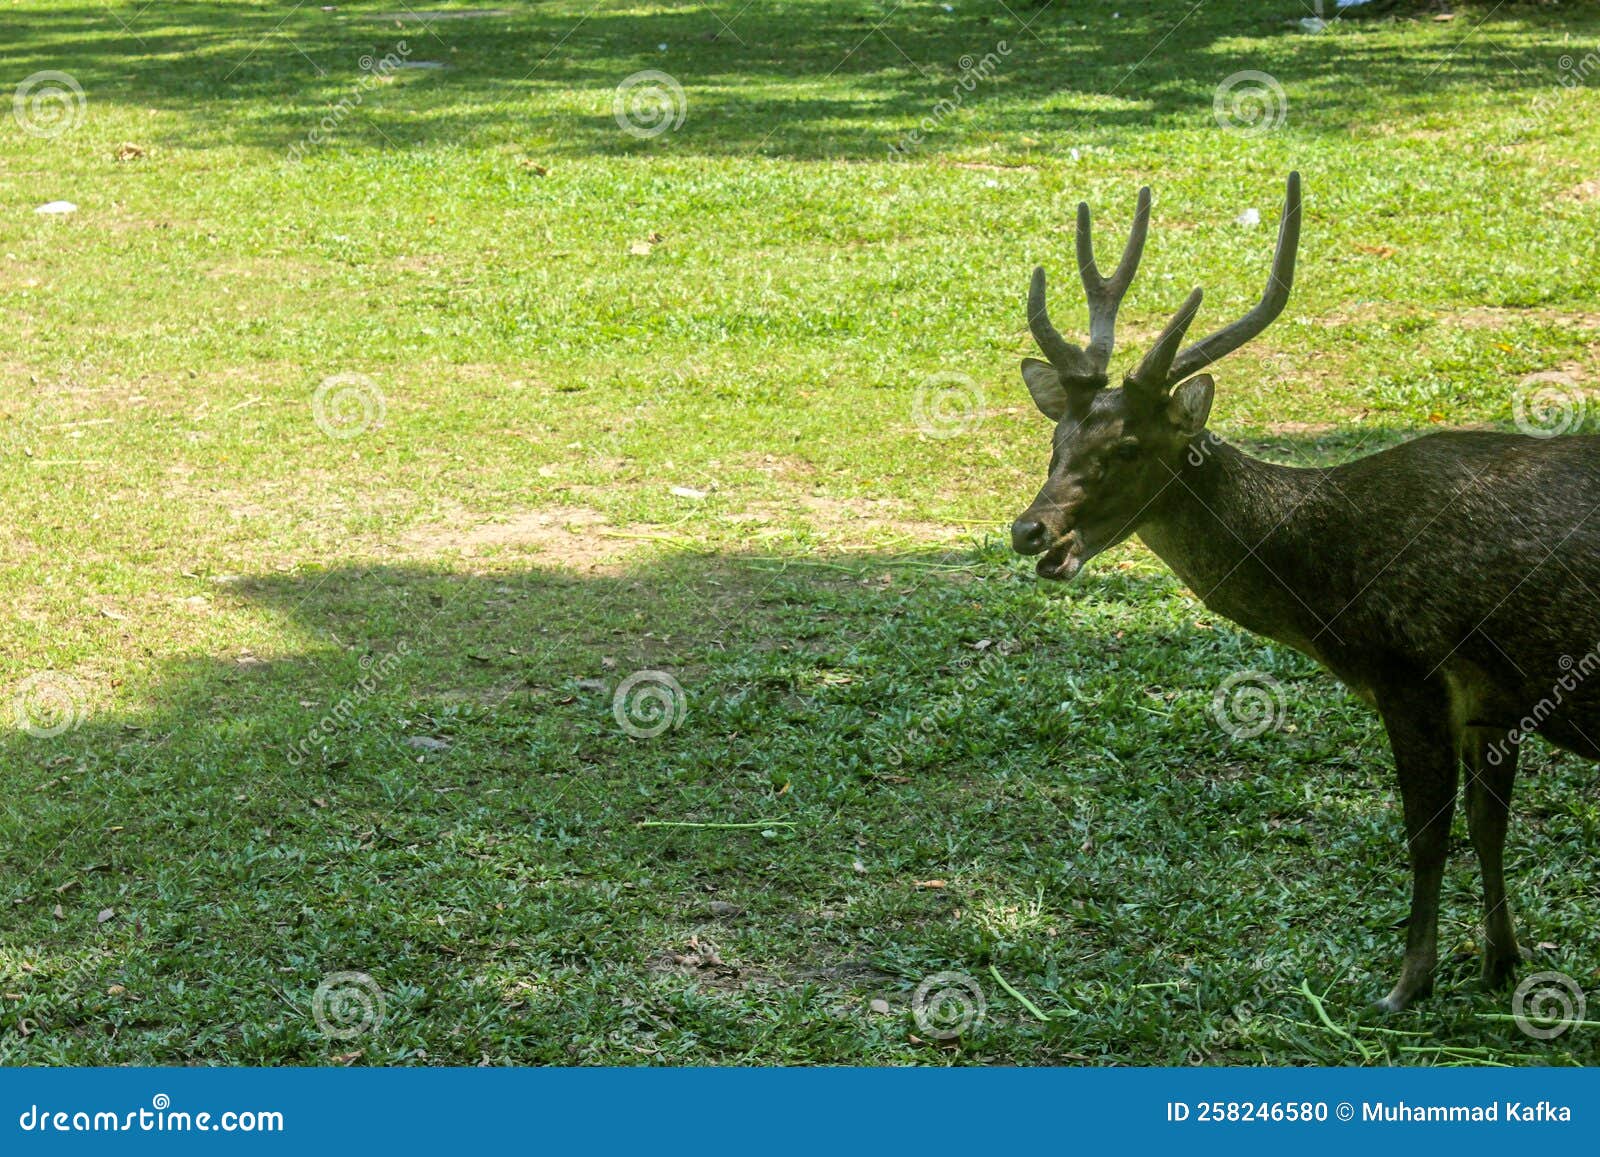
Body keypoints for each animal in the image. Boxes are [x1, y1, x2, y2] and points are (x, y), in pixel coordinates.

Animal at [1009, 171, 1600, 1011]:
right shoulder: (1494, 701)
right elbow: (1491, 826)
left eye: (1127, 447)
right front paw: (1500, 963)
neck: (1332, 590)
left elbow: (1427, 833)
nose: (1030, 530)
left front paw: (1406, 985)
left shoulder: (1414, 673)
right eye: (1056, 439)